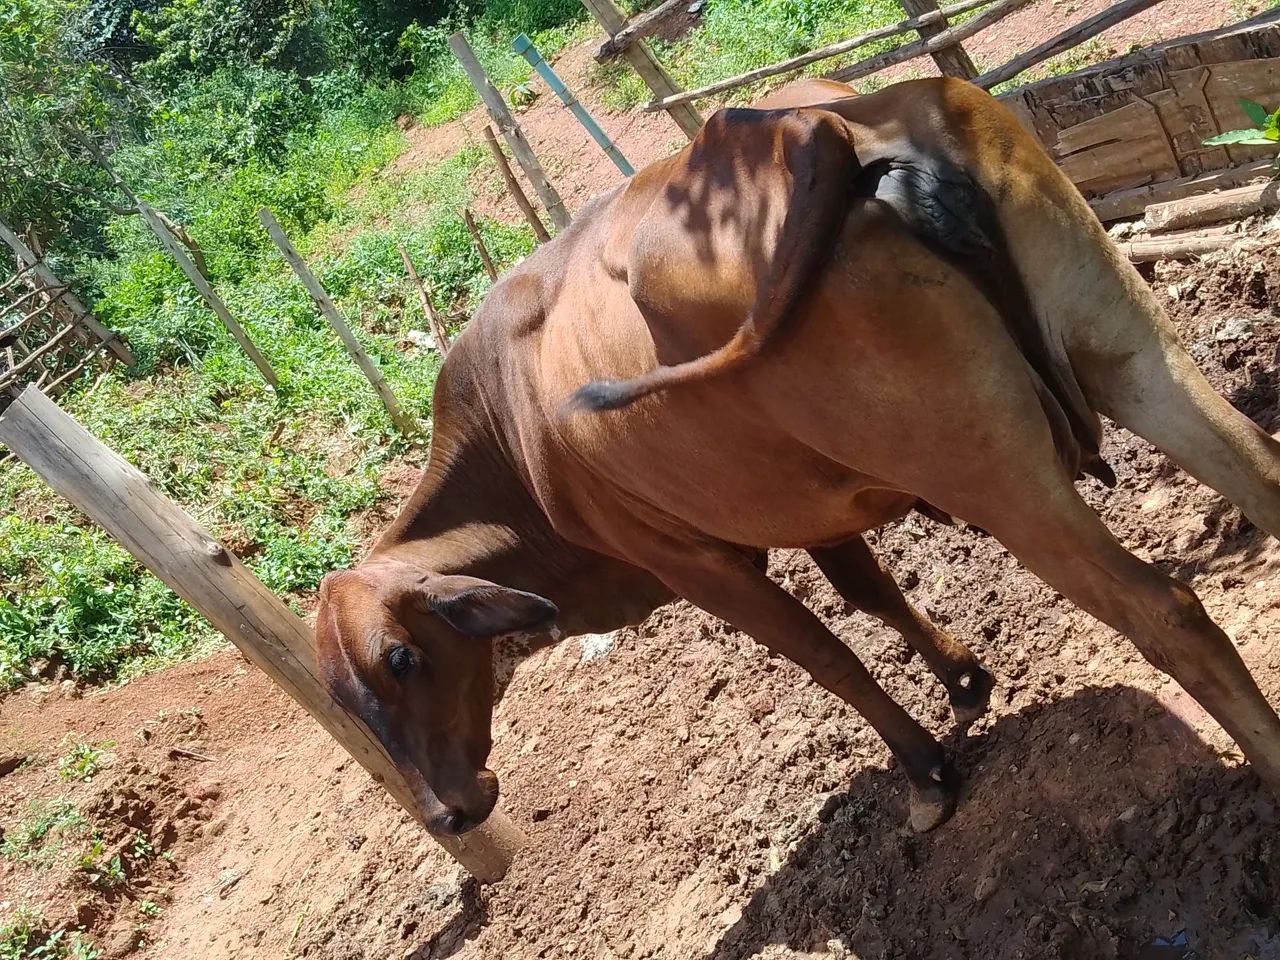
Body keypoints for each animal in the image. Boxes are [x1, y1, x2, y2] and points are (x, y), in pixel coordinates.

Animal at [315, 76, 1280, 838]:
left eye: (401, 660)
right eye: (342, 703)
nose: (448, 811)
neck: (515, 432)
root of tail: (821, 128)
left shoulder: (695, 563)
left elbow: (826, 657)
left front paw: (924, 770)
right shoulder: (811, 499)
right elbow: (869, 594)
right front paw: (965, 679)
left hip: (996, 478)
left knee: (1166, 612)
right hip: (1127, 349)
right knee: (1260, 470)